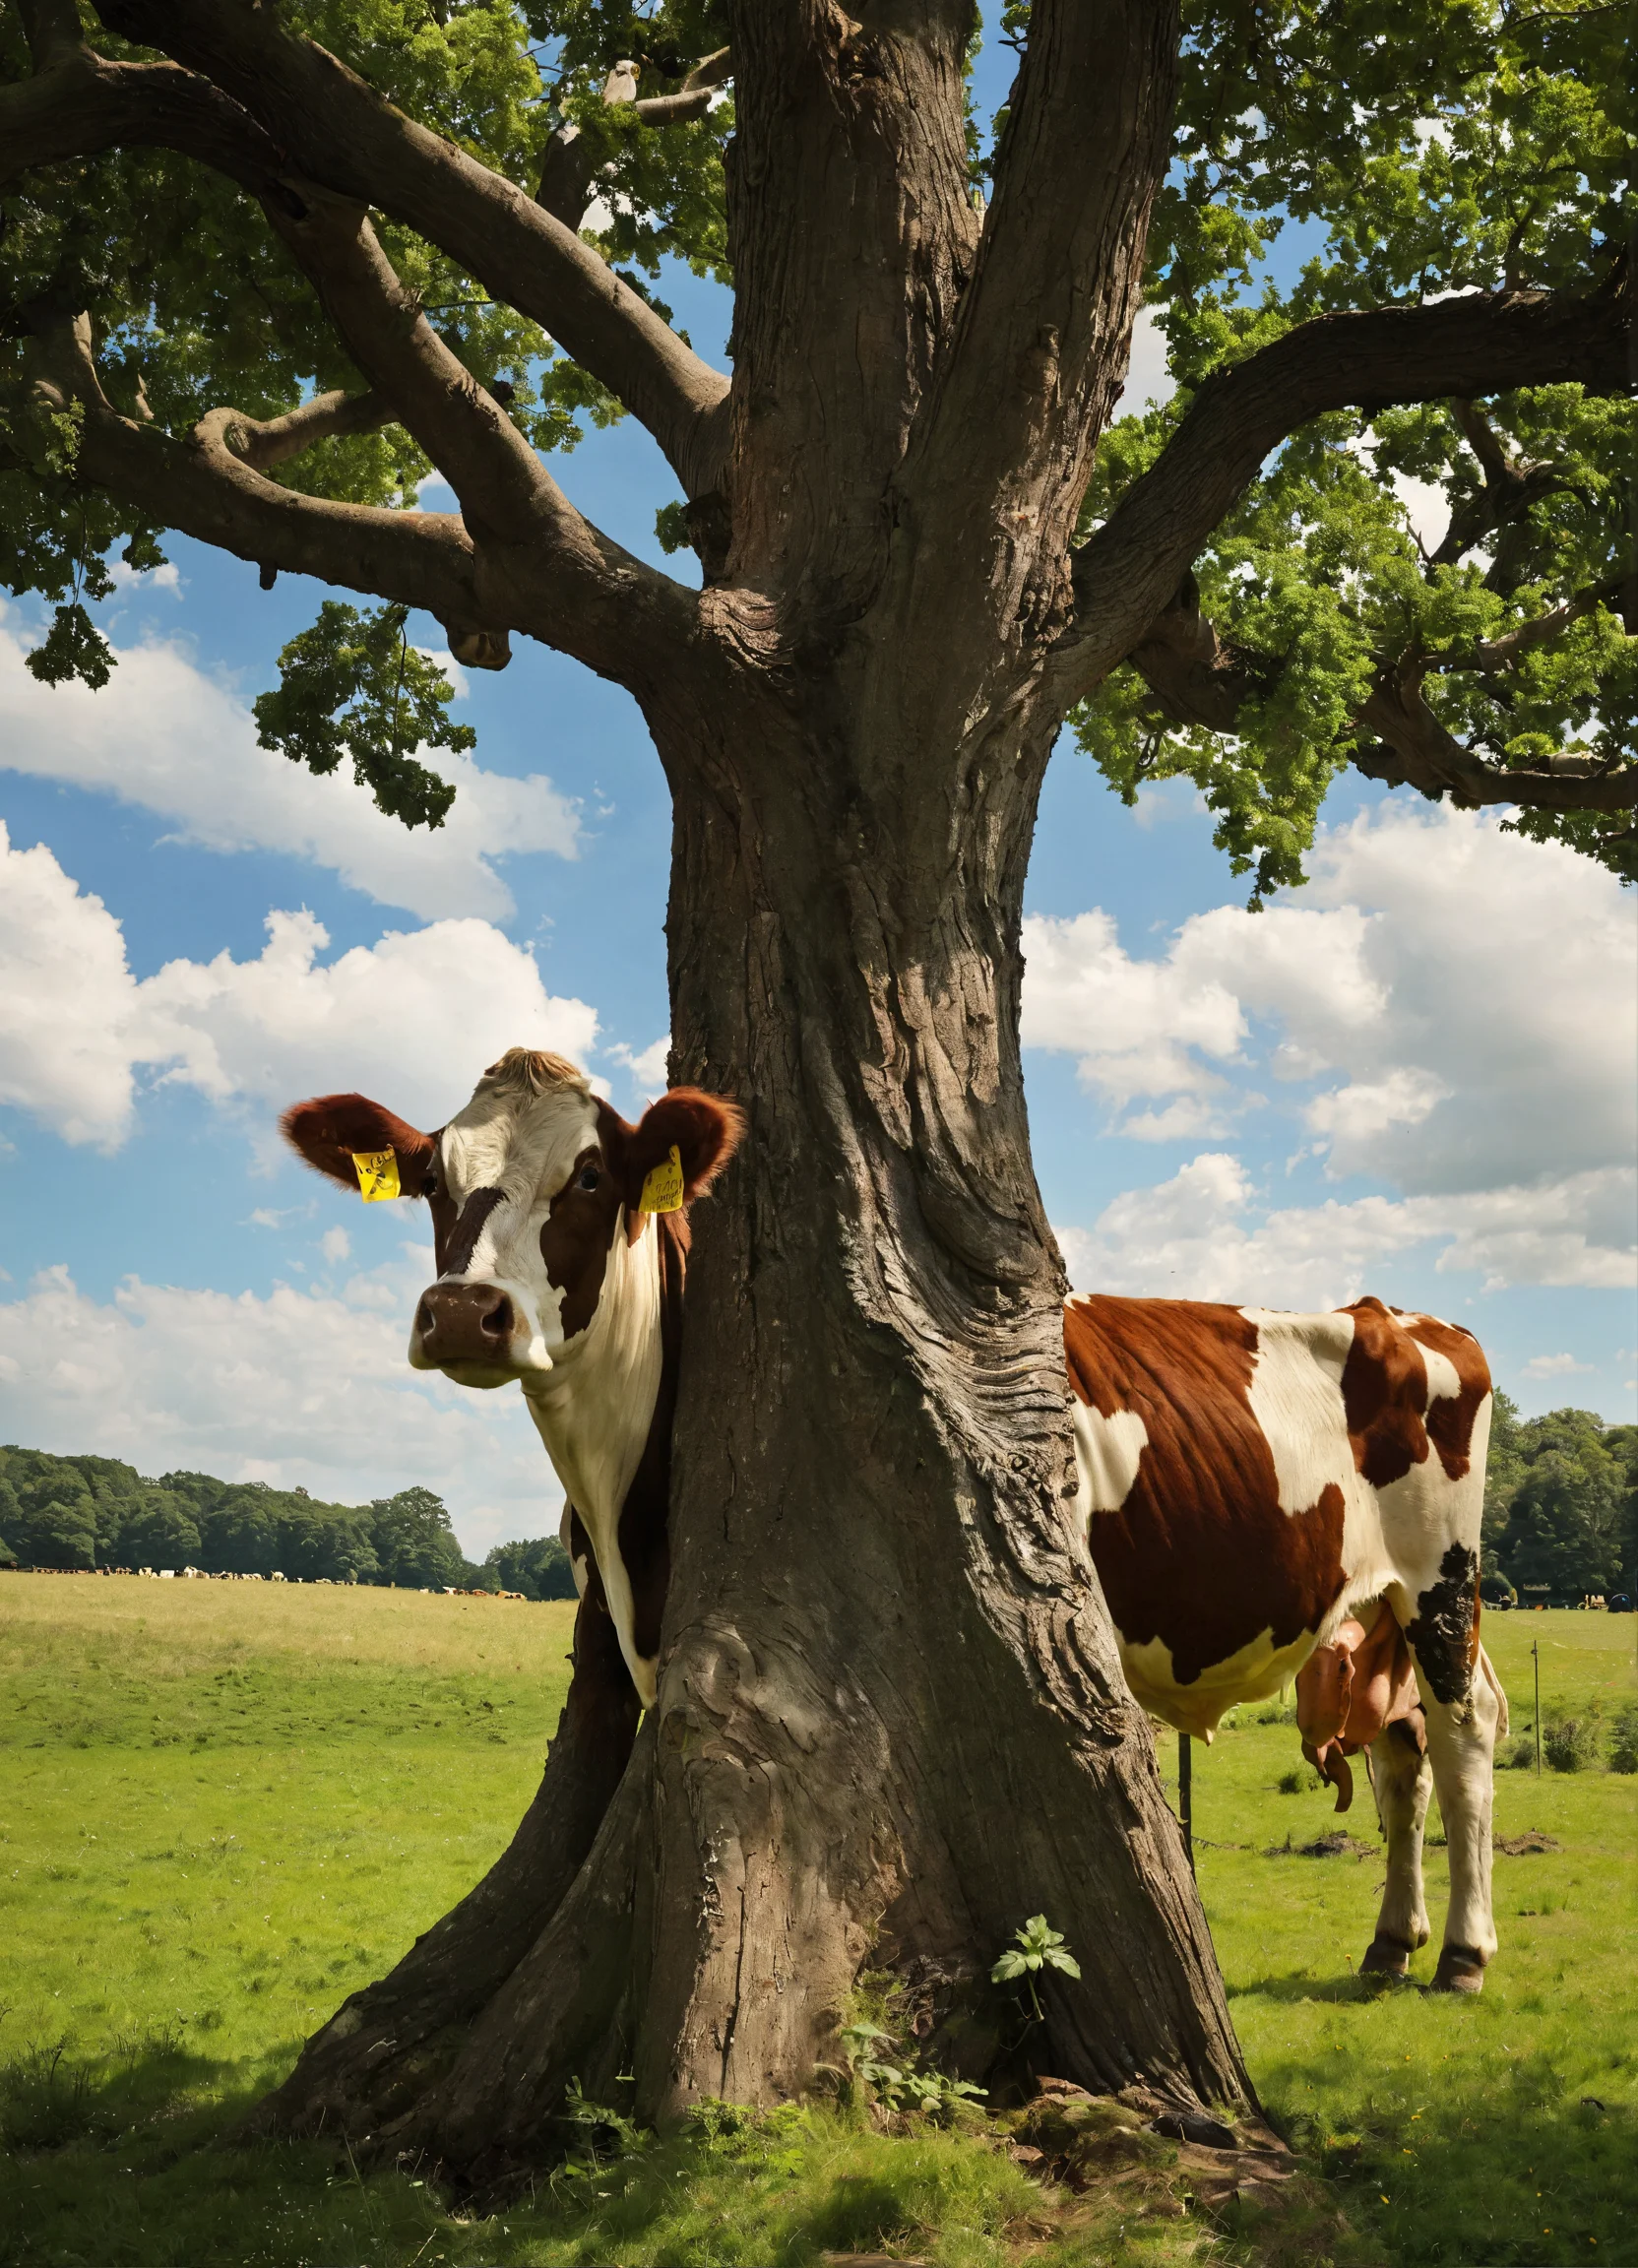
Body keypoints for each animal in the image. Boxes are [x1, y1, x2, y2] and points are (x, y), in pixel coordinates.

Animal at [284, 1046, 1504, 1994]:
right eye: (432, 1179)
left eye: (587, 1176)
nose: (463, 1314)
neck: (625, 1515)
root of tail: (1401, 1316)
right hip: (1371, 1610)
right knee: (1400, 1753)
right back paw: (1389, 1945)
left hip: (1438, 1580)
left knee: (1462, 1736)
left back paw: (1459, 1954)